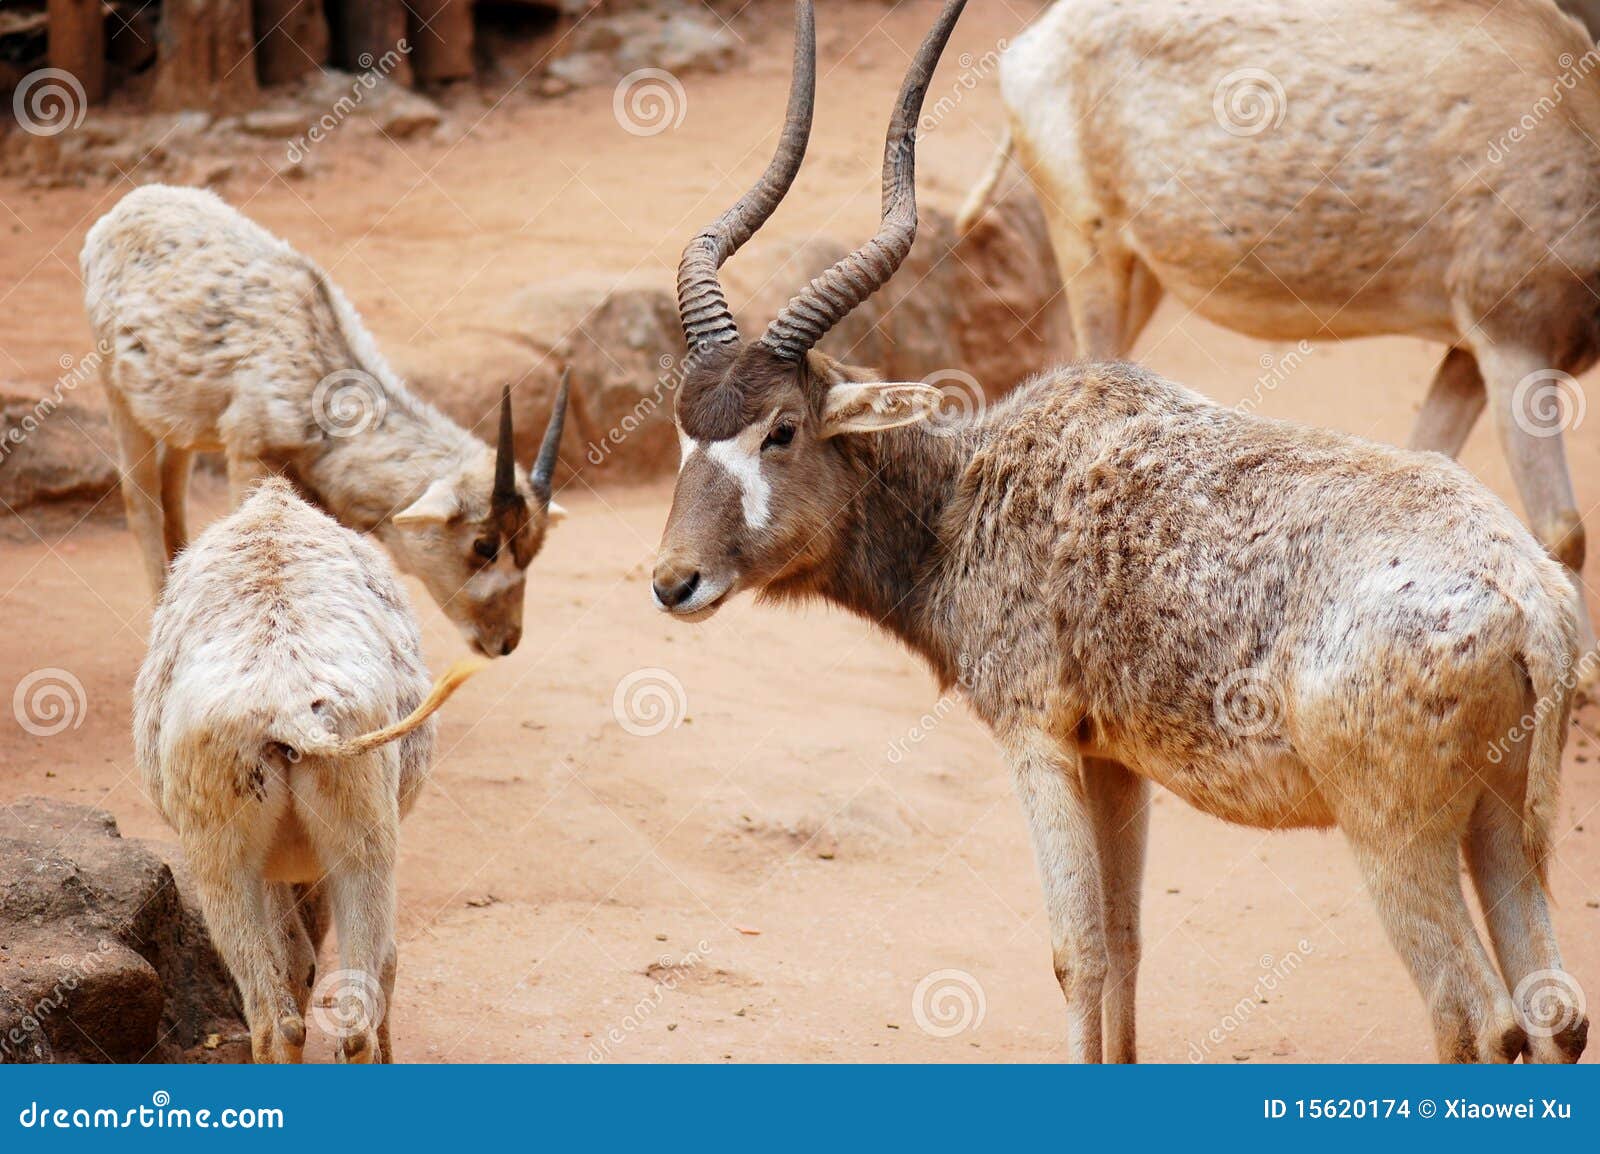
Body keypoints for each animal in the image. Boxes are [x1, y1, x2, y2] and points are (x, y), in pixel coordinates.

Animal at [82, 185, 569, 658]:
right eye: (483, 546)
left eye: (532, 550)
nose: (505, 642)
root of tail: (126, 208)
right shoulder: (249, 456)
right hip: (116, 389)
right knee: (141, 498)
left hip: (177, 421)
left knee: (171, 489)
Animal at [958, 0, 1600, 666]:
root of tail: (1030, 47)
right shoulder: (1513, 337)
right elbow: (1564, 531)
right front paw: (1585, 672)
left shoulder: (1466, 352)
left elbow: (1430, 452)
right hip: (1088, 241)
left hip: (1142, 270)